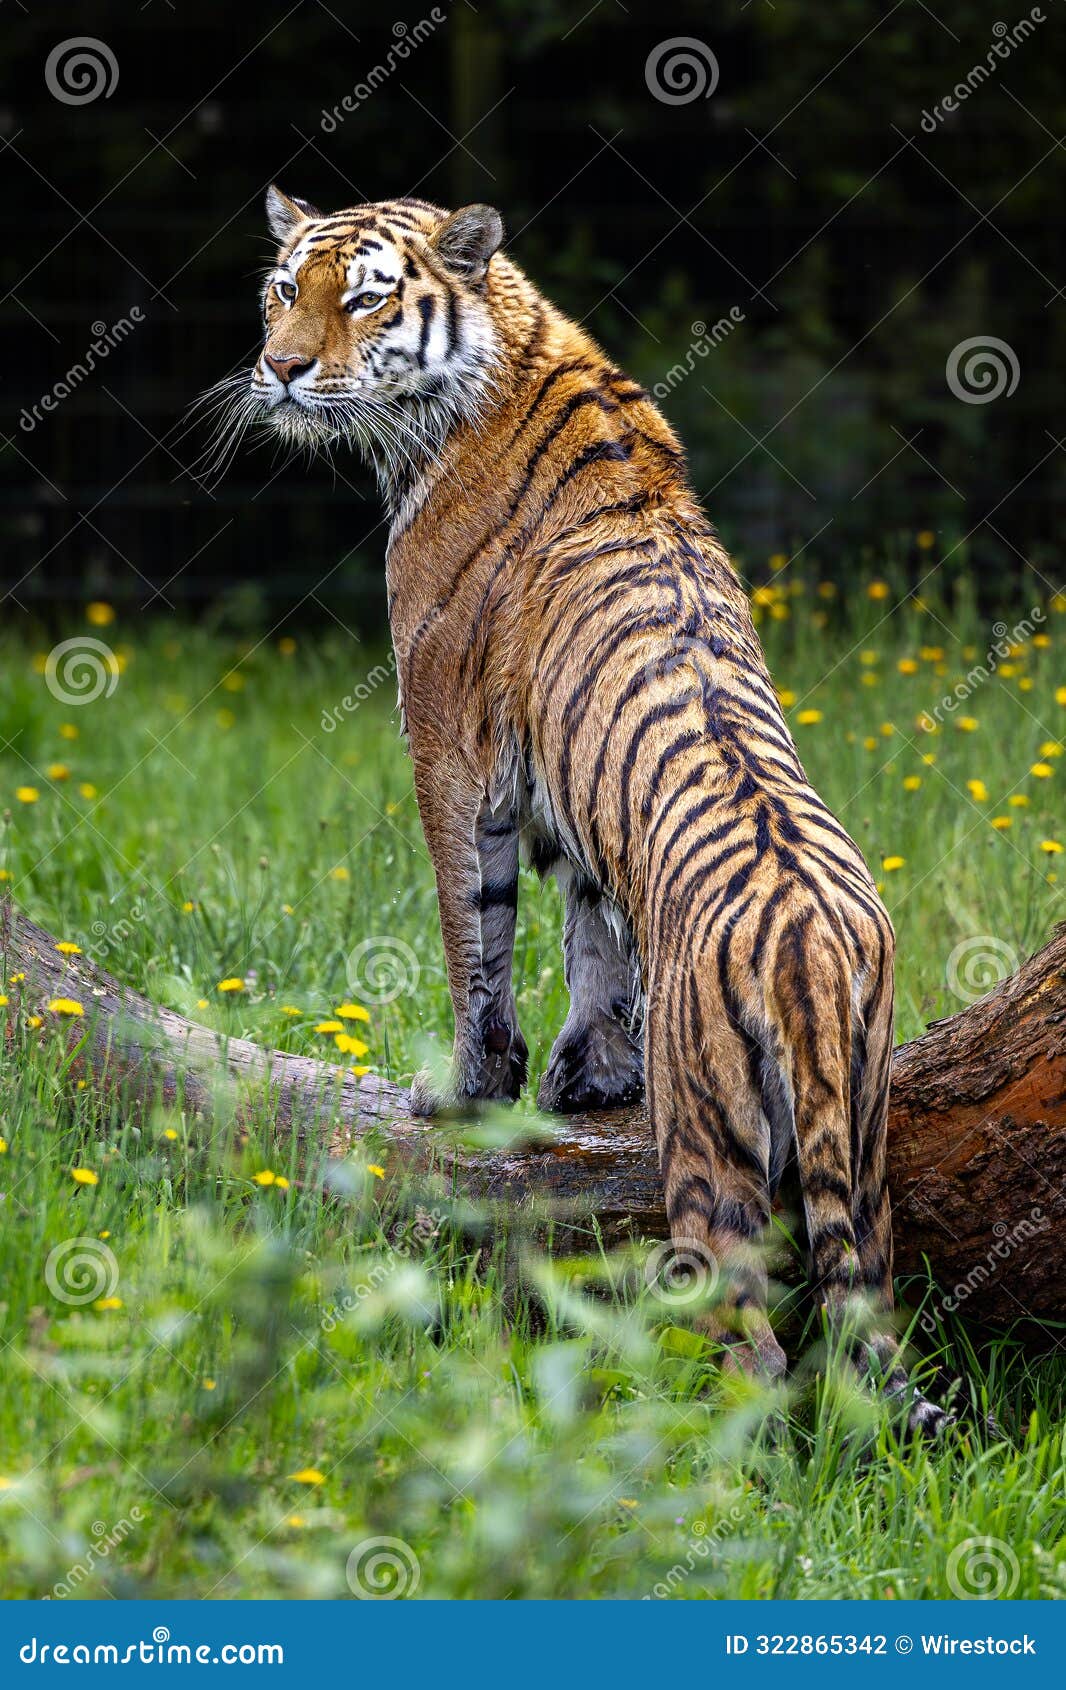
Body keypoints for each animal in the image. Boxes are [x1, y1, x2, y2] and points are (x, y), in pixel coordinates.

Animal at [213, 184, 941, 1425]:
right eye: (280, 289)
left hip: (713, 1155)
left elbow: (478, 936)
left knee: (750, 1340)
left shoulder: (449, 748)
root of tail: (803, 939)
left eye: (360, 298)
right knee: (860, 1333)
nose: (282, 367)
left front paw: (472, 1092)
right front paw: (586, 1082)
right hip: (868, 1143)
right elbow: (595, 935)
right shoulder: (573, 792)